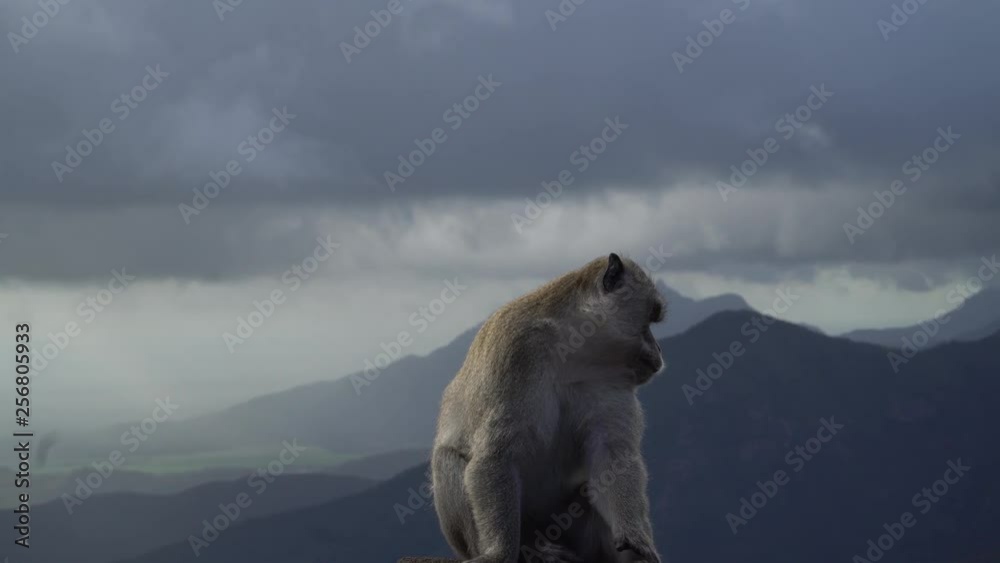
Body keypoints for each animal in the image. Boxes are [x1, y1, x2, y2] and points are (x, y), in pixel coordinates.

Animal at [431, 253, 666, 563]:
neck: (573, 351)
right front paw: (500, 552)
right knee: (446, 459)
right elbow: (495, 456)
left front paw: (635, 538)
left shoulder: (609, 383)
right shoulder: (516, 353)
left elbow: (612, 456)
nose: (659, 352)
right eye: (650, 319)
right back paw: (527, 551)